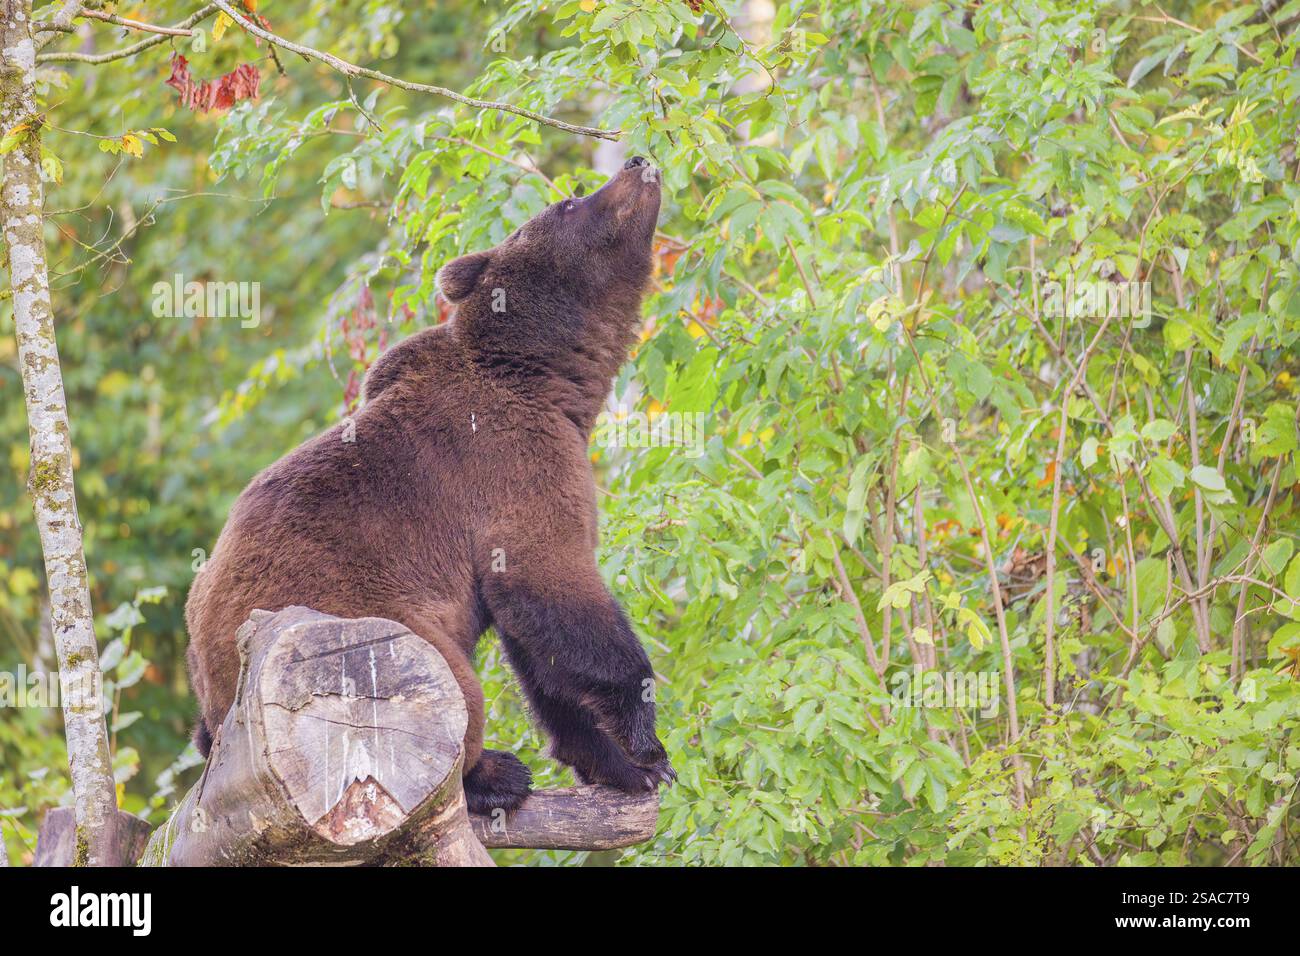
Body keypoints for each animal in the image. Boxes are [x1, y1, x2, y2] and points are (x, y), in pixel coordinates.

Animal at [184, 156, 672, 814]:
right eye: (569, 202)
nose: (637, 161)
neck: (552, 377)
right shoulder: (512, 464)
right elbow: (549, 582)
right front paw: (647, 741)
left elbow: (538, 654)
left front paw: (611, 762)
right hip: (369, 625)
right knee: (454, 689)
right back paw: (493, 773)